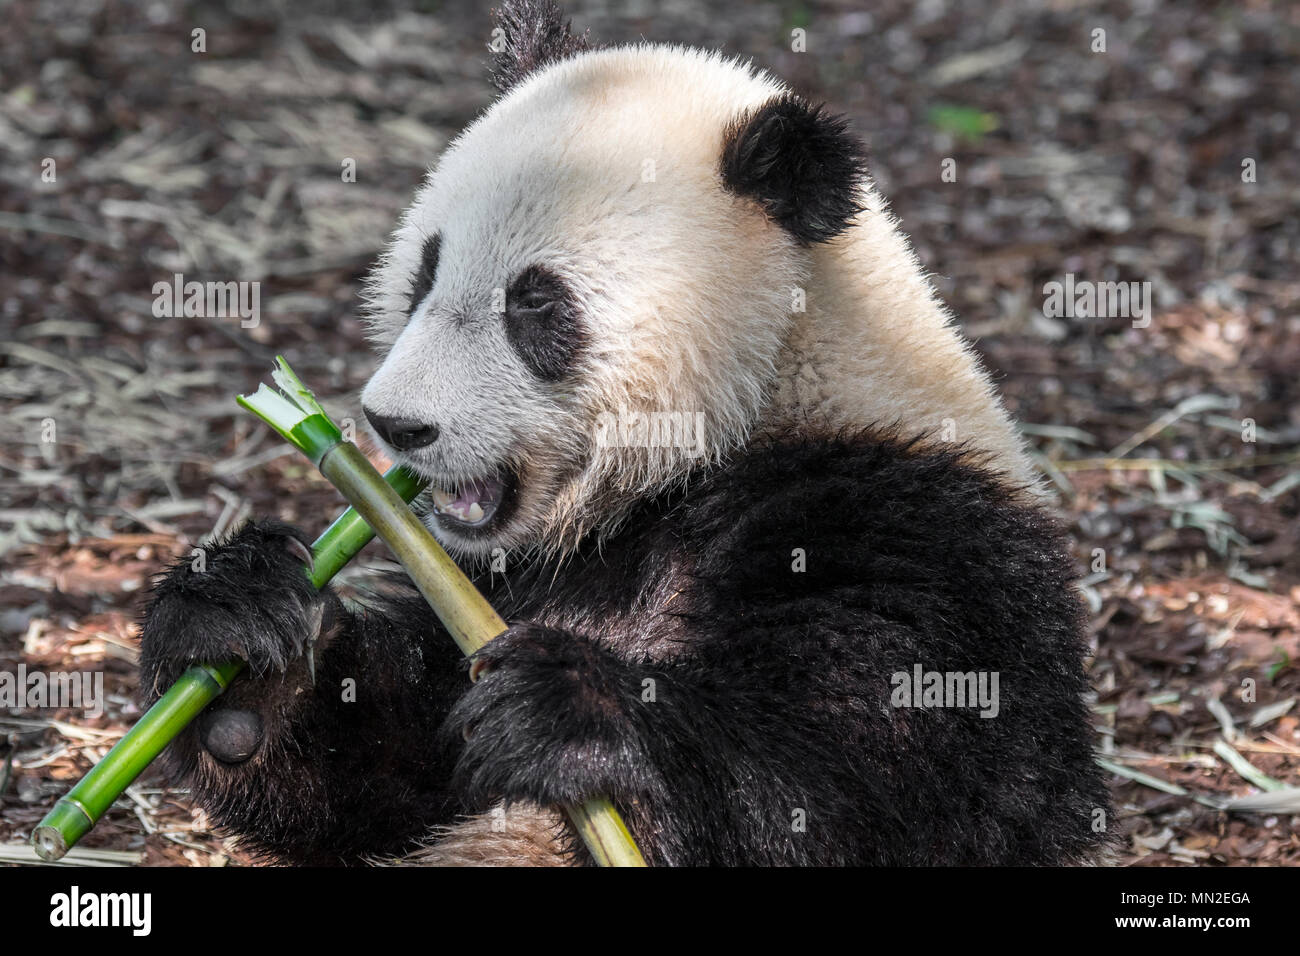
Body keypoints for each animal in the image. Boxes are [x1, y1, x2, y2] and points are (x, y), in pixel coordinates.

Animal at [138, 0, 1109, 866]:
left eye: (535, 305)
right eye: (422, 275)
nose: (395, 423)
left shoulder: (913, 526)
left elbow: (881, 783)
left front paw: (568, 710)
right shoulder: (509, 581)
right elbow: (389, 771)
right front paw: (241, 642)